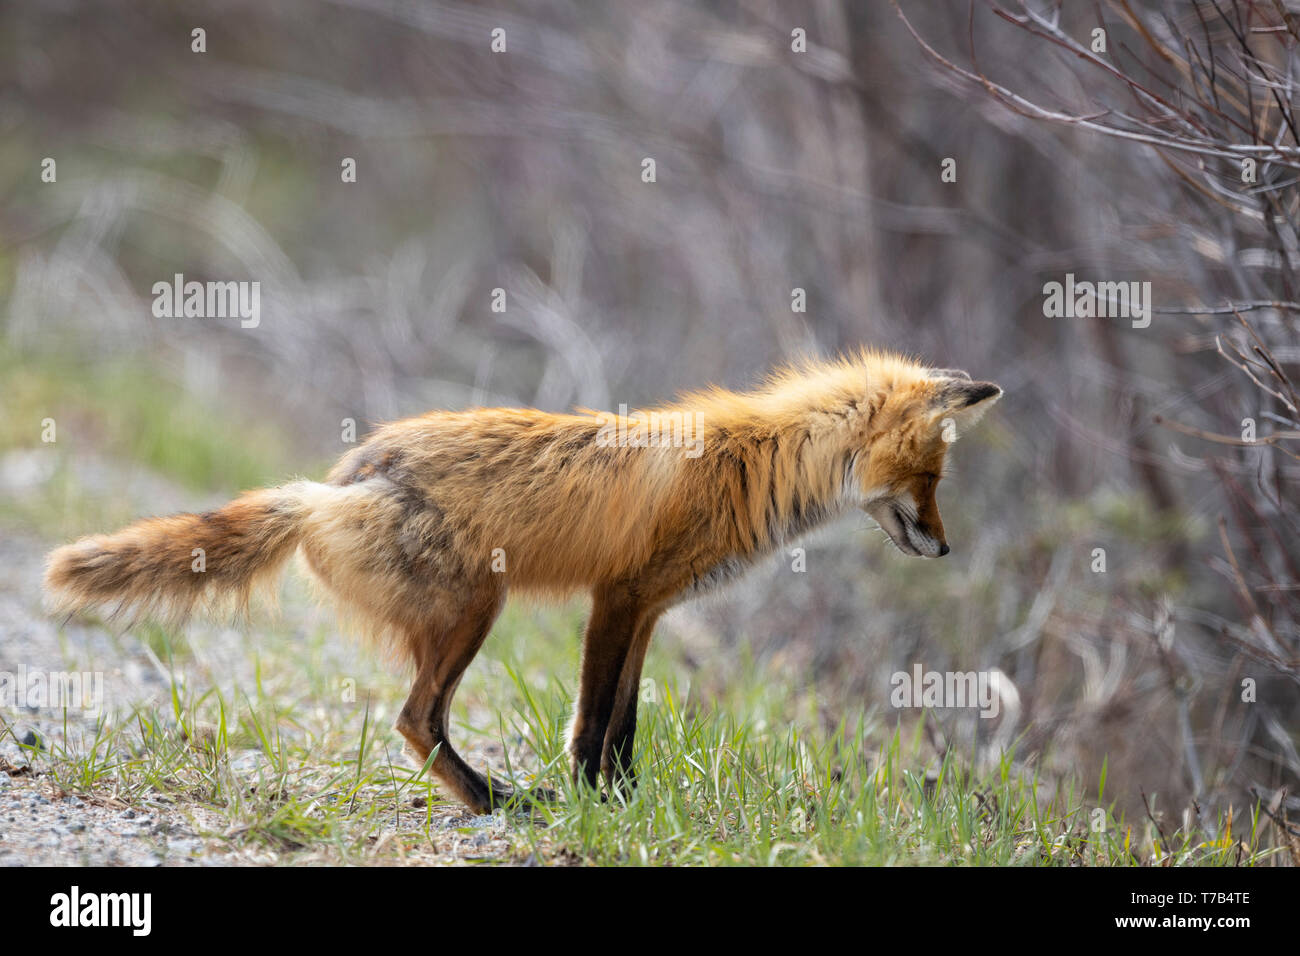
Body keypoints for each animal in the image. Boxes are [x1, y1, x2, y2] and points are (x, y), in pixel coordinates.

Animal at [44, 350, 1001, 814]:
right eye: (929, 479)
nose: (947, 549)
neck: (755, 462)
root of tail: (334, 484)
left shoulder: (647, 609)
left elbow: (623, 723)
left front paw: (624, 801)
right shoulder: (620, 598)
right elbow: (592, 724)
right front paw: (592, 805)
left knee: (420, 720)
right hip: (477, 610)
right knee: (415, 719)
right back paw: (494, 802)